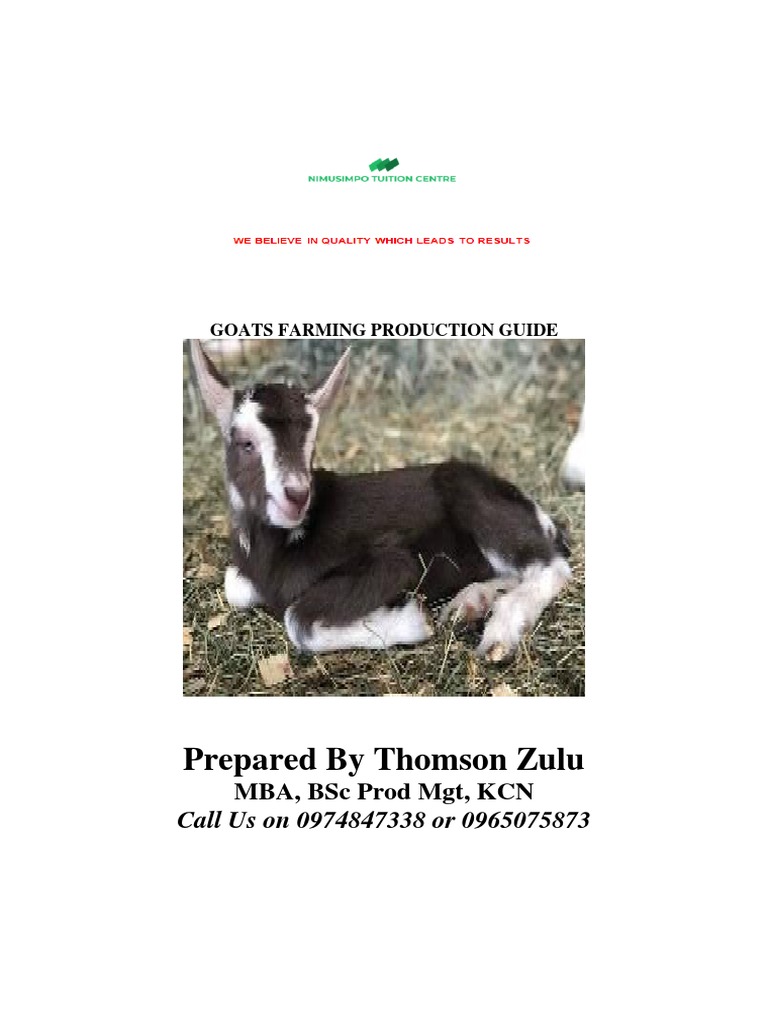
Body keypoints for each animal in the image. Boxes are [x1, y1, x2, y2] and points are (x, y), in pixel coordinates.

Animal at [189, 340, 571, 661]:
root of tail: (540, 514)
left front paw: (412, 622)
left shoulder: (392, 562)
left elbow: (296, 617)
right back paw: (470, 604)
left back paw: (499, 634)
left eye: (310, 449)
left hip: (470, 494)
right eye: (246, 444)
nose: (297, 495)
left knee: (552, 566)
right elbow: (235, 586)